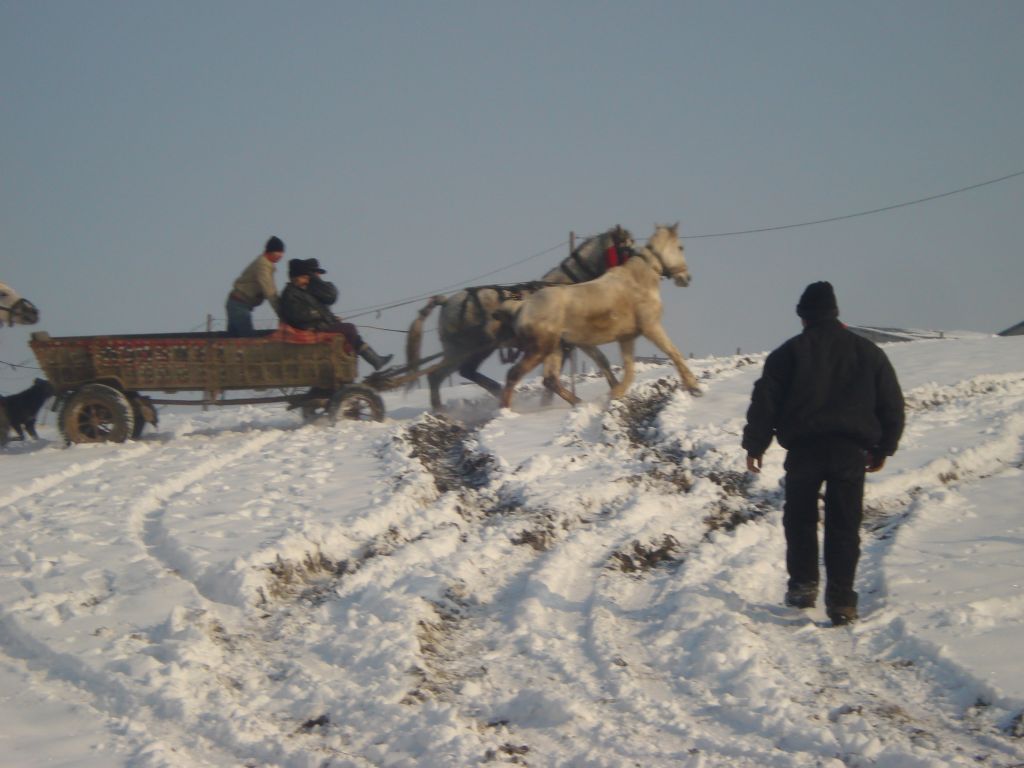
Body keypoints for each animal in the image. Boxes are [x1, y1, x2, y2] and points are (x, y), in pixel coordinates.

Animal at [405, 225, 630, 411]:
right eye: (627, 248)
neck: (567, 288)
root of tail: (446, 302)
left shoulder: (565, 344)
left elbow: (594, 363)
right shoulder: (570, 341)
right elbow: (593, 363)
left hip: (469, 350)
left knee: (462, 372)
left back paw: (493, 391)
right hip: (464, 349)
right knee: (438, 376)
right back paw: (443, 410)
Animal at [497, 225, 700, 411]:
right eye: (680, 247)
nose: (686, 278)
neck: (638, 282)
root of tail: (523, 305)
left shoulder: (625, 338)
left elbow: (625, 368)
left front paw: (616, 393)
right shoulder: (651, 327)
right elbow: (673, 352)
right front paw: (694, 387)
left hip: (554, 348)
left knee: (550, 379)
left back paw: (578, 403)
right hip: (539, 349)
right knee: (514, 375)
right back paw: (506, 412)